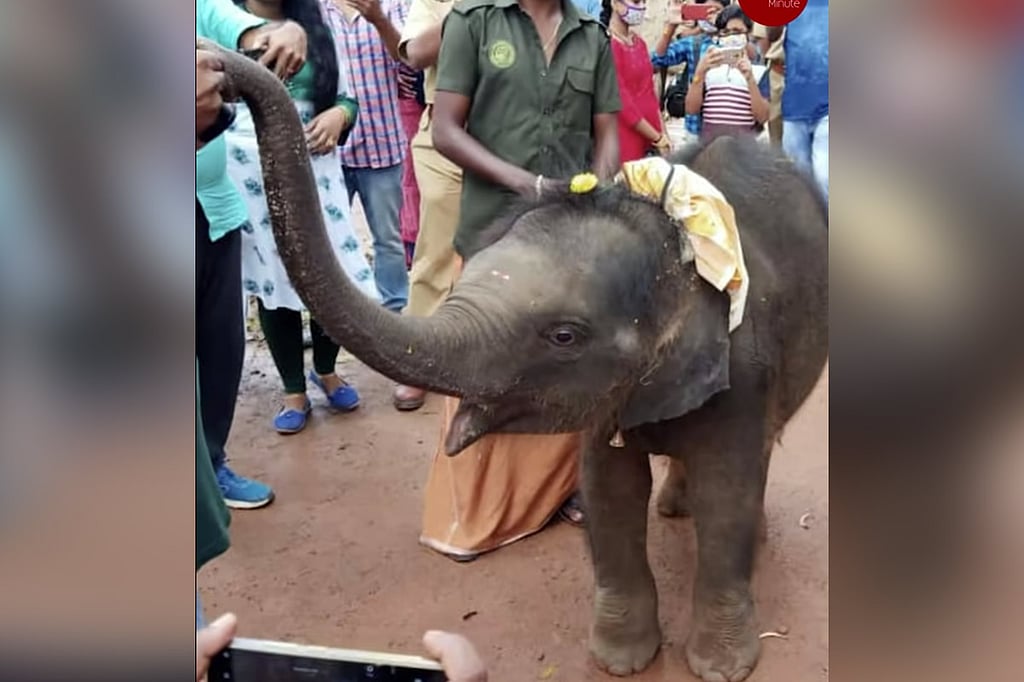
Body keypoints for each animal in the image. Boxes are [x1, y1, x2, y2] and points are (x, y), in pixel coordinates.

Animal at [204, 40, 828, 682]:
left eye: (563, 336)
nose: (228, 66)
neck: (674, 244)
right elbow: (609, 491)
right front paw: (620, 661)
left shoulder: (743, 370)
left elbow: (726, 496)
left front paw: (721, 668)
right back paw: (675, 508)